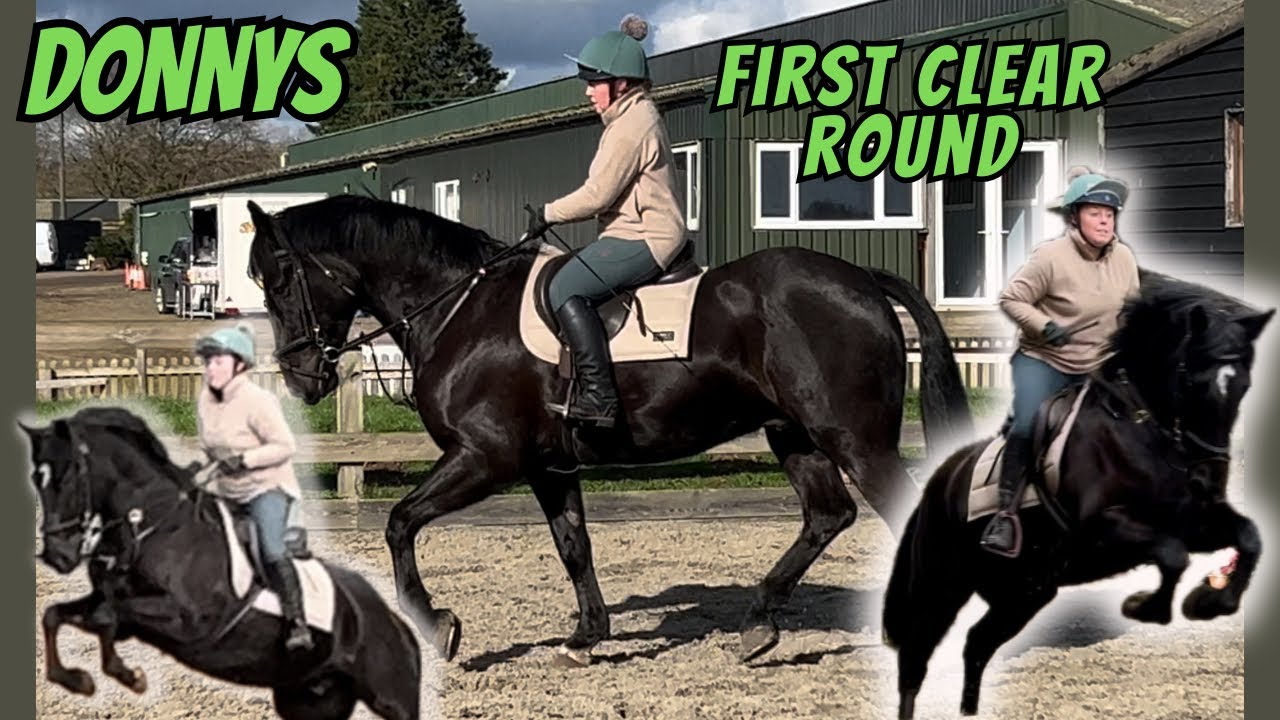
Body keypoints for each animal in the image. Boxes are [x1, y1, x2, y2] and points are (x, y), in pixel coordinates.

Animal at [22, 406, 421, 720]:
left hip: (391, 698)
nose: (57, 555)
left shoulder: (188, 620)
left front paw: (127, 675)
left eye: (68, 475)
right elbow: (56, 615)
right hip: (309, 701)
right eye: (36, 478)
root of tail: (396, 622)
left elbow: (109, 615)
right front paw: (79, 680)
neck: (152, 526)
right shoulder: (112, 603)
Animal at [244, 194, 975, 666]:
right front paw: (587, 636)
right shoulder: (547, 466)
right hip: (794, 436)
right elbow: (574, 545)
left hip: (855, 440)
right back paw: (758, 624)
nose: (301, 379)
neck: (459, 308)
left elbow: (399, 523)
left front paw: (436, 624)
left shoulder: (486, 457)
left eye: (278, 280)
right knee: (827, 515)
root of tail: (860, 279)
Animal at [881, 270, 1274, 719]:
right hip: (942, 586)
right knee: (915, 659)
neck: (1144, 430)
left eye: (1243, 385)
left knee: (976, 645)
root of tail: (940, 481)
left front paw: (1209, 602)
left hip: (1024, 593)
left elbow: (1248, 537)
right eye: (1192, 380)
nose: (1209, 475)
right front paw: (1144, 606)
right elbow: (1173, 554)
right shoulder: (1106, 529)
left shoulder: (1193, 521)